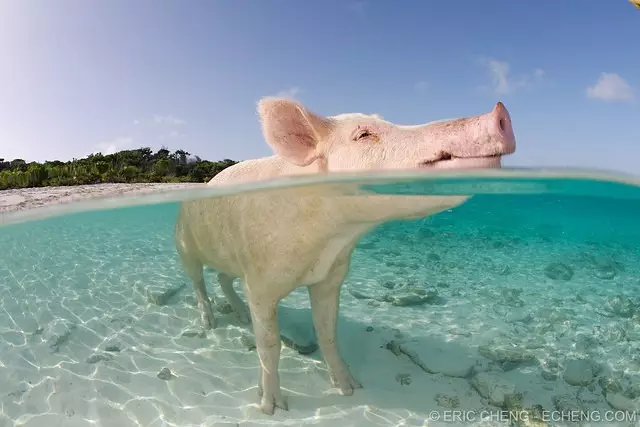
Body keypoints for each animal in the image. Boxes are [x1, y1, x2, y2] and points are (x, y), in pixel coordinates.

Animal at [174, 97, 516, 414]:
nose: (500, 111)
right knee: (198, 282)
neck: (334, 238)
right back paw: (209, 323)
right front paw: (273, 408)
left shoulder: (331, 275)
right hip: (184, 244)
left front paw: (350, 389)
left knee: (223, 277)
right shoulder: (259, 282)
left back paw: (241, 315)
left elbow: (328, 333)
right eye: (363, 134)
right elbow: (269, 346)